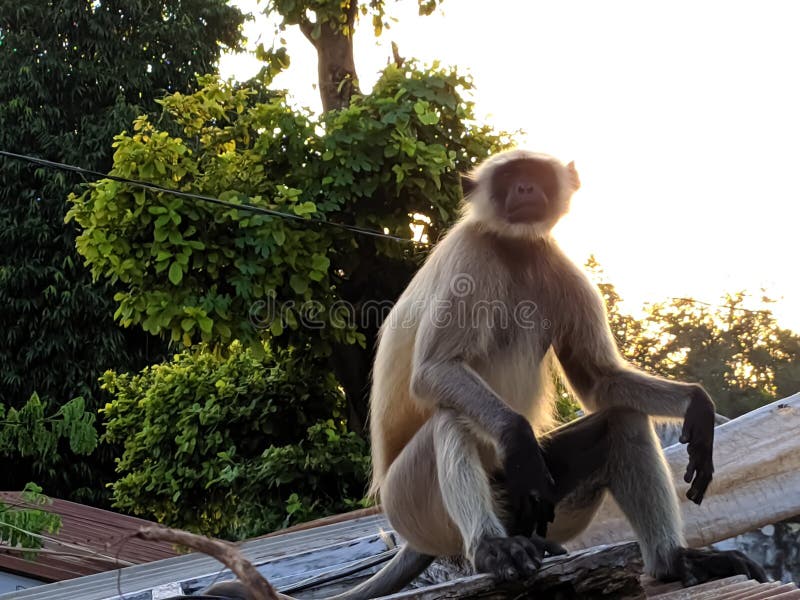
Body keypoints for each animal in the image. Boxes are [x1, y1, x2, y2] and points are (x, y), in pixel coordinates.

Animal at [197, 150, 765, 600]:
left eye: (535, 174)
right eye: (510, 176)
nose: (525, 188)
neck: (514, 248)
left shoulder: (558, 267)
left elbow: (598, 381)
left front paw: (698, 406)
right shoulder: (473, 255)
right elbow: (435, 374)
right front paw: (514, 433)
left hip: (538, 506)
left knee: (620, 420)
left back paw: (674, 563)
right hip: (415, 504)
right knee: (452, 418)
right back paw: (493, 548)